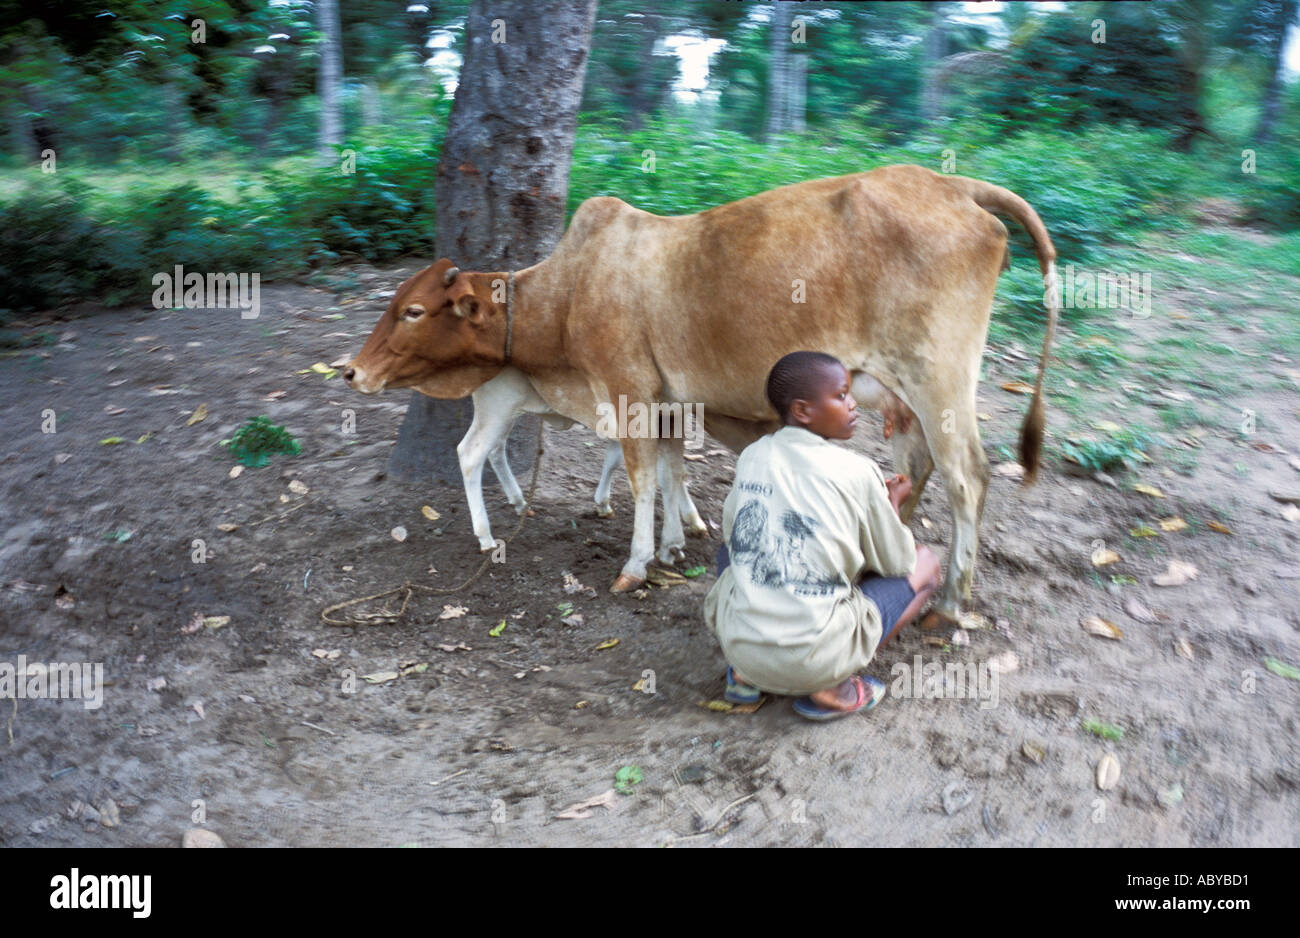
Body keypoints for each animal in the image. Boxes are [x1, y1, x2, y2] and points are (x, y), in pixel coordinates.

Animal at [344, 165, 1059, 623]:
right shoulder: (666, 402)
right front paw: (671, 544)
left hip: (939, 379)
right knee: (916, 471)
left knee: (967, 476)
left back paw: (953, 601)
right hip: (901, 397)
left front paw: (637, 563)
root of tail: (955, 185)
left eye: (412, 311)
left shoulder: (630, 391)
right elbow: (669, 472)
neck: (569, 290)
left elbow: (642, 479)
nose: (352, 372)